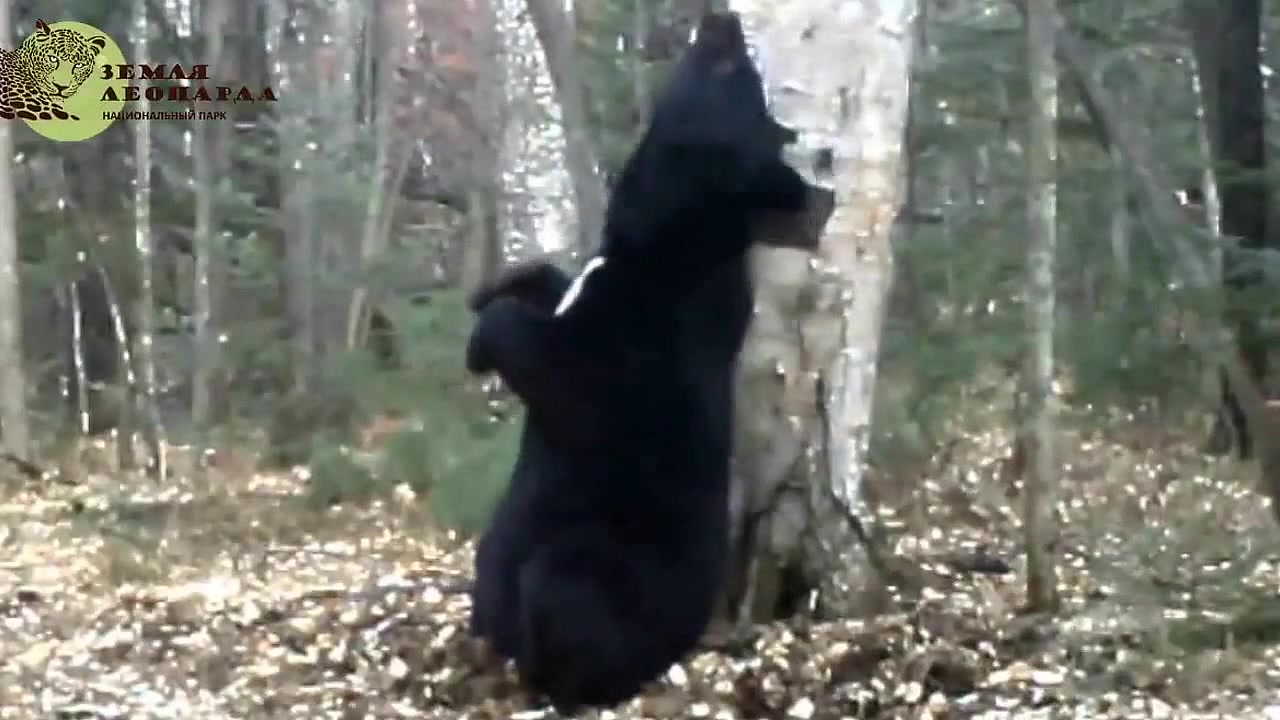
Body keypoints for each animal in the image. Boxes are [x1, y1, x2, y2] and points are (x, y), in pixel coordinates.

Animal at [464, 11, 832, 712]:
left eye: (735, 74)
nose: (724, 18)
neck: (667, 245)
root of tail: (680, 646)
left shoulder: (619, 353)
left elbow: (547, 360)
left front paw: (479, 344)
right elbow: (548, 278)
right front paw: (492, 287)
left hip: (583, 567)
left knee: (565, 614)